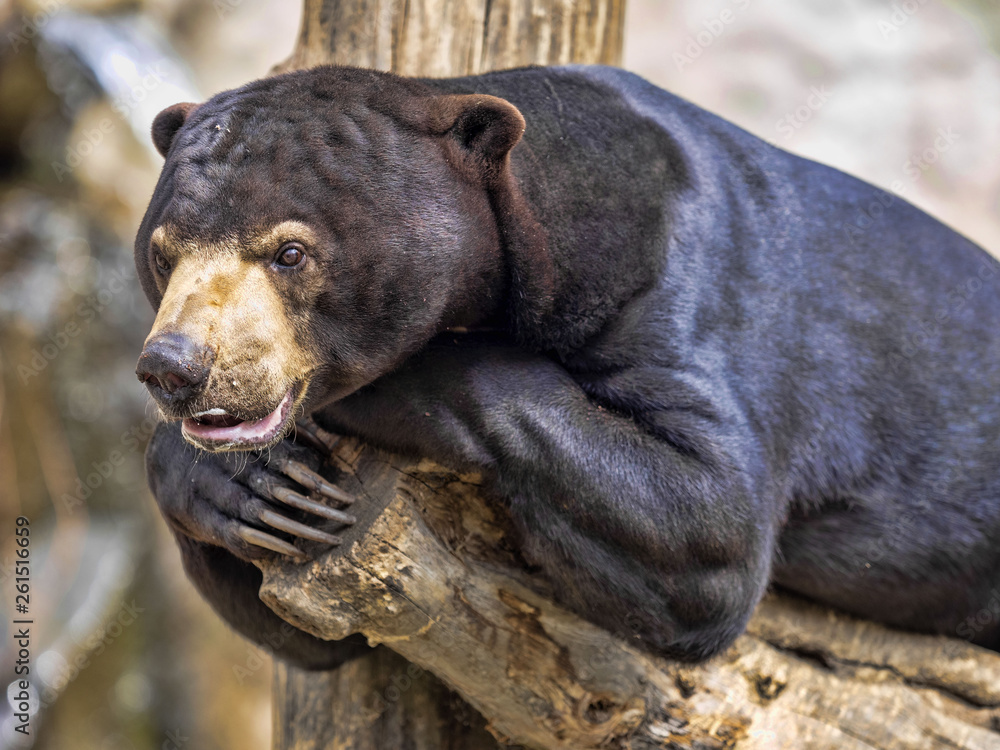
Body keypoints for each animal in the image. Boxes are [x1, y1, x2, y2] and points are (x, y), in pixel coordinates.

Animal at [135, 64, 1000, 669]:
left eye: (290, 252)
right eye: (163, 253)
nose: (173, 369)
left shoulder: (676, 286)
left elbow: (710, 530)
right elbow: (318, 640)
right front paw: (257, 488)